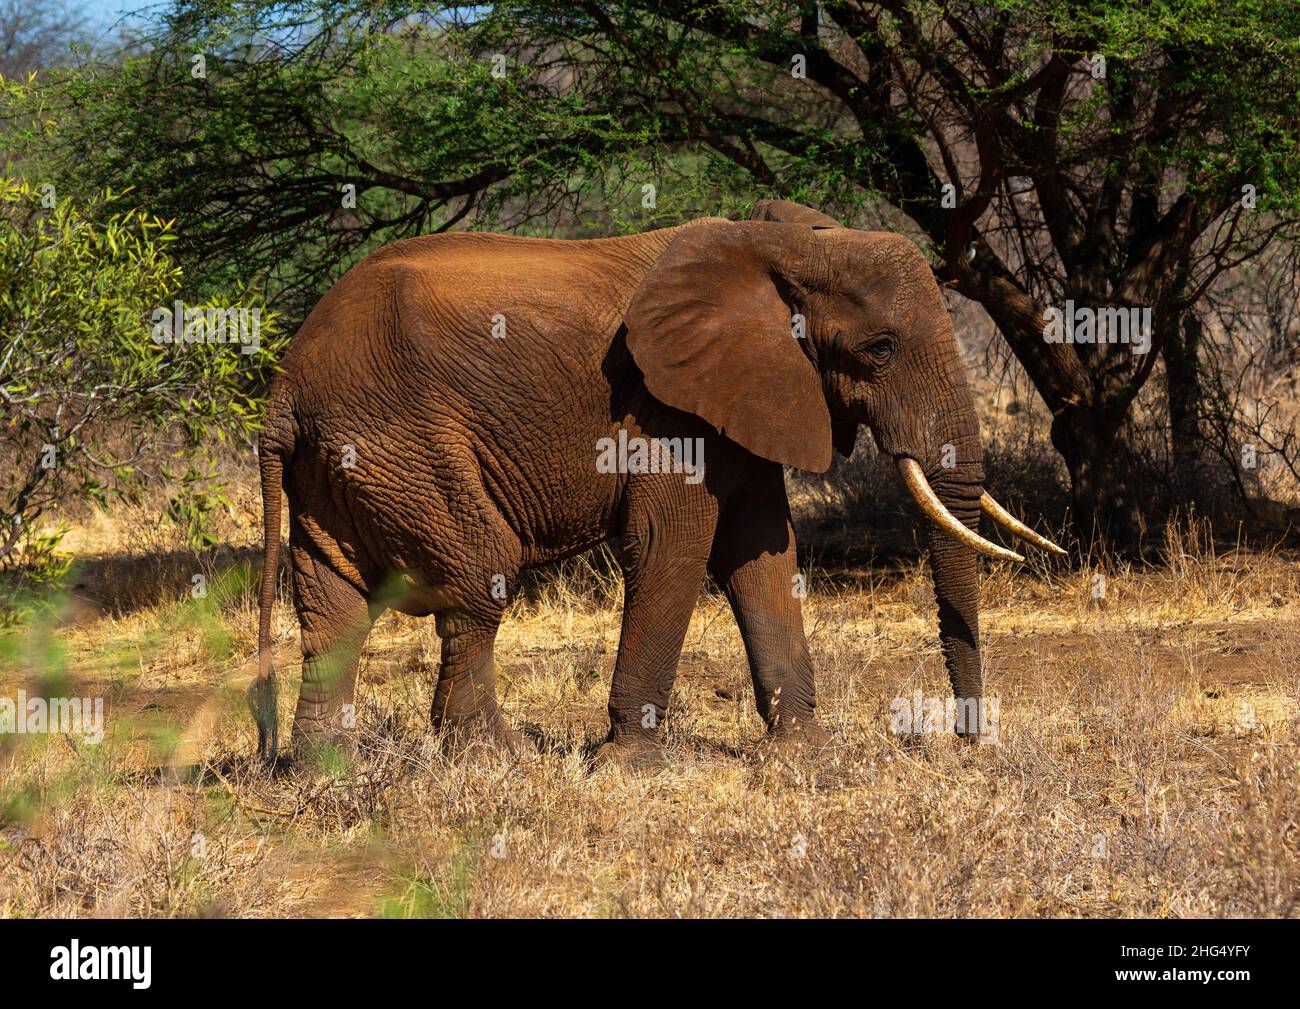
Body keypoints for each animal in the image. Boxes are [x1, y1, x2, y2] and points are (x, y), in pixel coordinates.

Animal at [248, 199, 1063, 767]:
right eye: (881, 350)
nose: (966, 745)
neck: (783, 246)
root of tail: (285, 386)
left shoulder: (742, 394)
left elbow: (762, 554)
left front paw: (803, 755)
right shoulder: (663, 406)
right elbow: (671, 545)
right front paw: (630, 766)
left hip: (341, 461)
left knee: (333, 608)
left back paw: (324, 773)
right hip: (403, 442)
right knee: (478, 582)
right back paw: (496, 760)